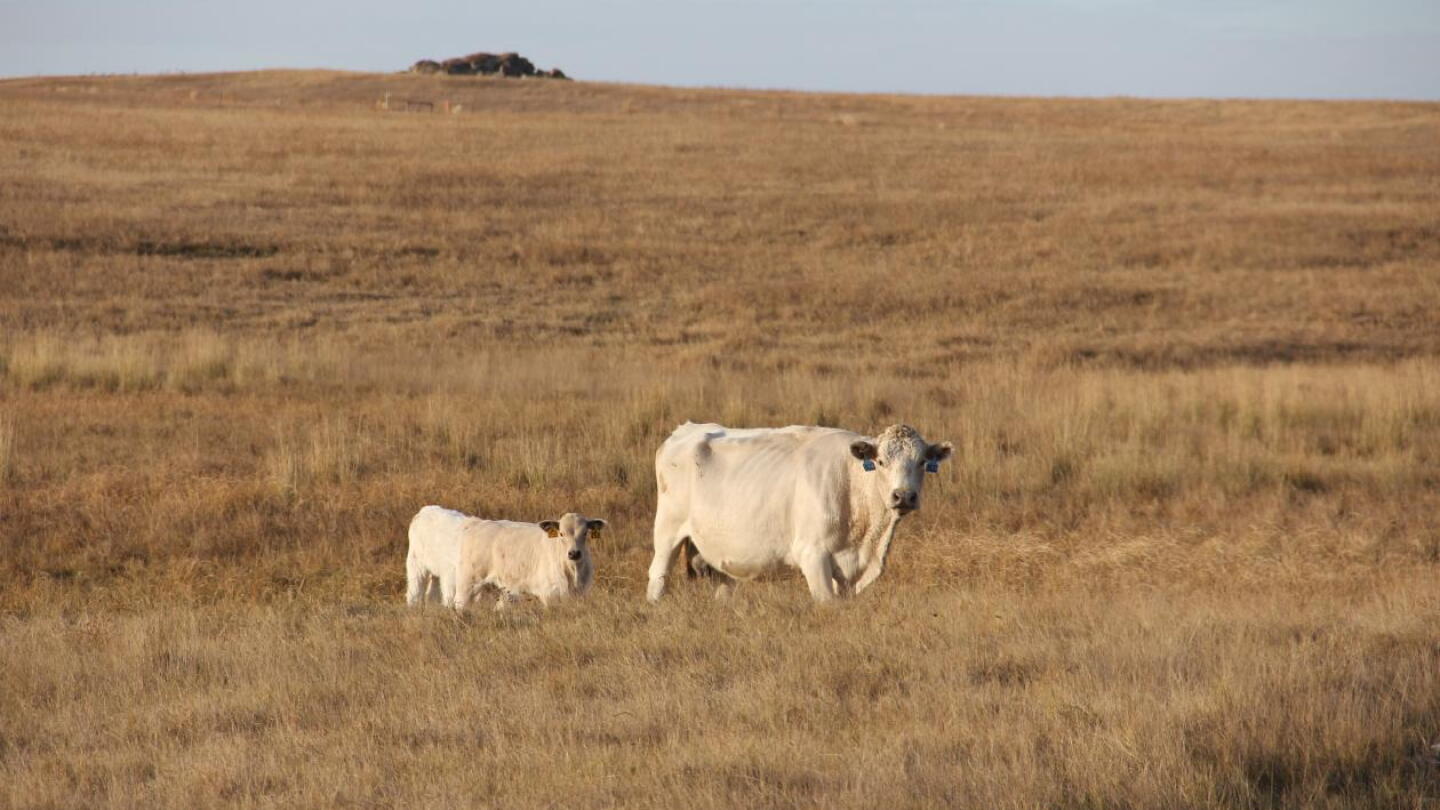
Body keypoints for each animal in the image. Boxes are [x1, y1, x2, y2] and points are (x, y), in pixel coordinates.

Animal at [406, 506, 605, 610]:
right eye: (561, 534)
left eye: (585, 533)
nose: (574, 553)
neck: (573, 572)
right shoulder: (550, 594)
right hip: (448, 577)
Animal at [646, 423, 952, 603]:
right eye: (880, 461)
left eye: (923, 462)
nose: (904, 495)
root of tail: (685, 430)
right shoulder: (813, 555)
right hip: (667, 531)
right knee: (658, 576)